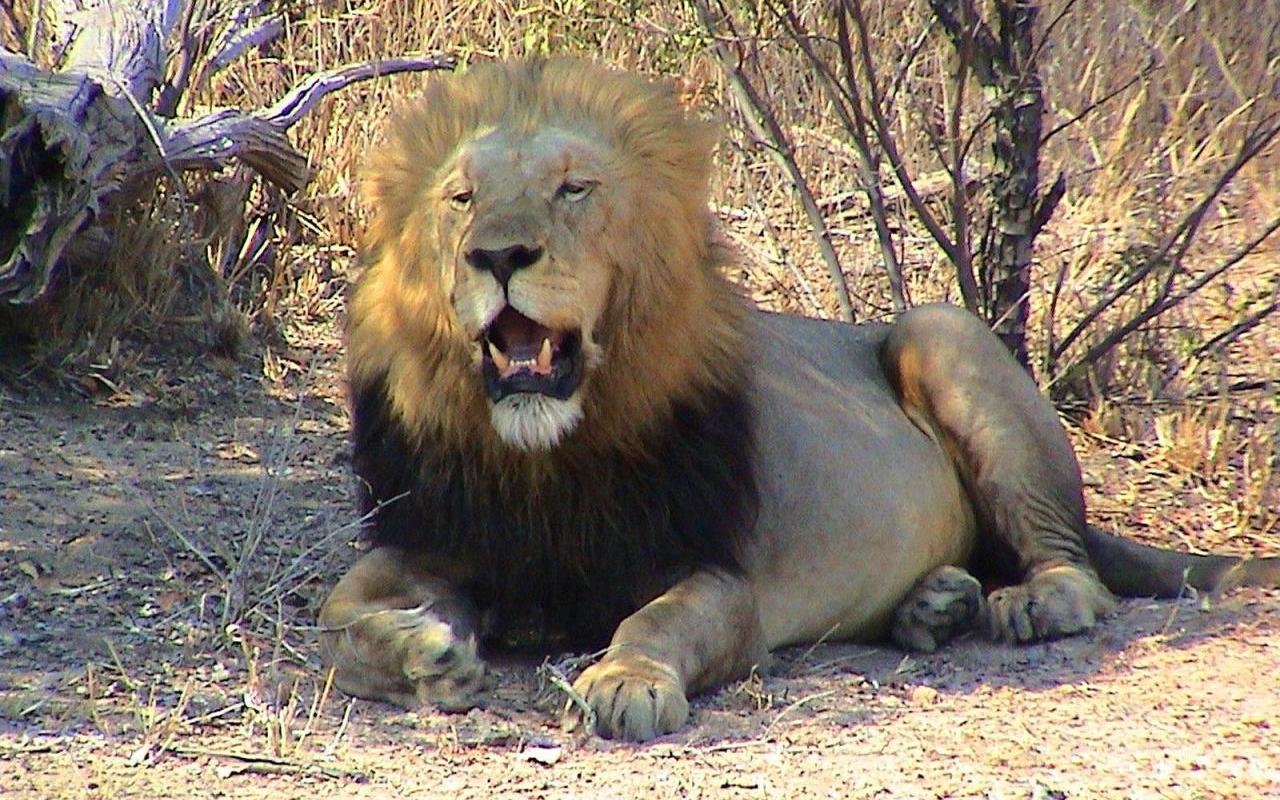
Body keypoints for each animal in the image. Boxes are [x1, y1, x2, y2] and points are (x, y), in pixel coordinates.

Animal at [318, 59, 1280, 741]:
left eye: (573, 188)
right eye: (461, 198)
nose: (499, 255)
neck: (544, 455)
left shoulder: (716, 573)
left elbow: (656, 621)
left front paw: (626, 681)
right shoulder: (437, 536)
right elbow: (335, 623)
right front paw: (426, 651)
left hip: (942, 331)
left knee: (1078, 569)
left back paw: (1029, 603)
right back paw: (936, 604)